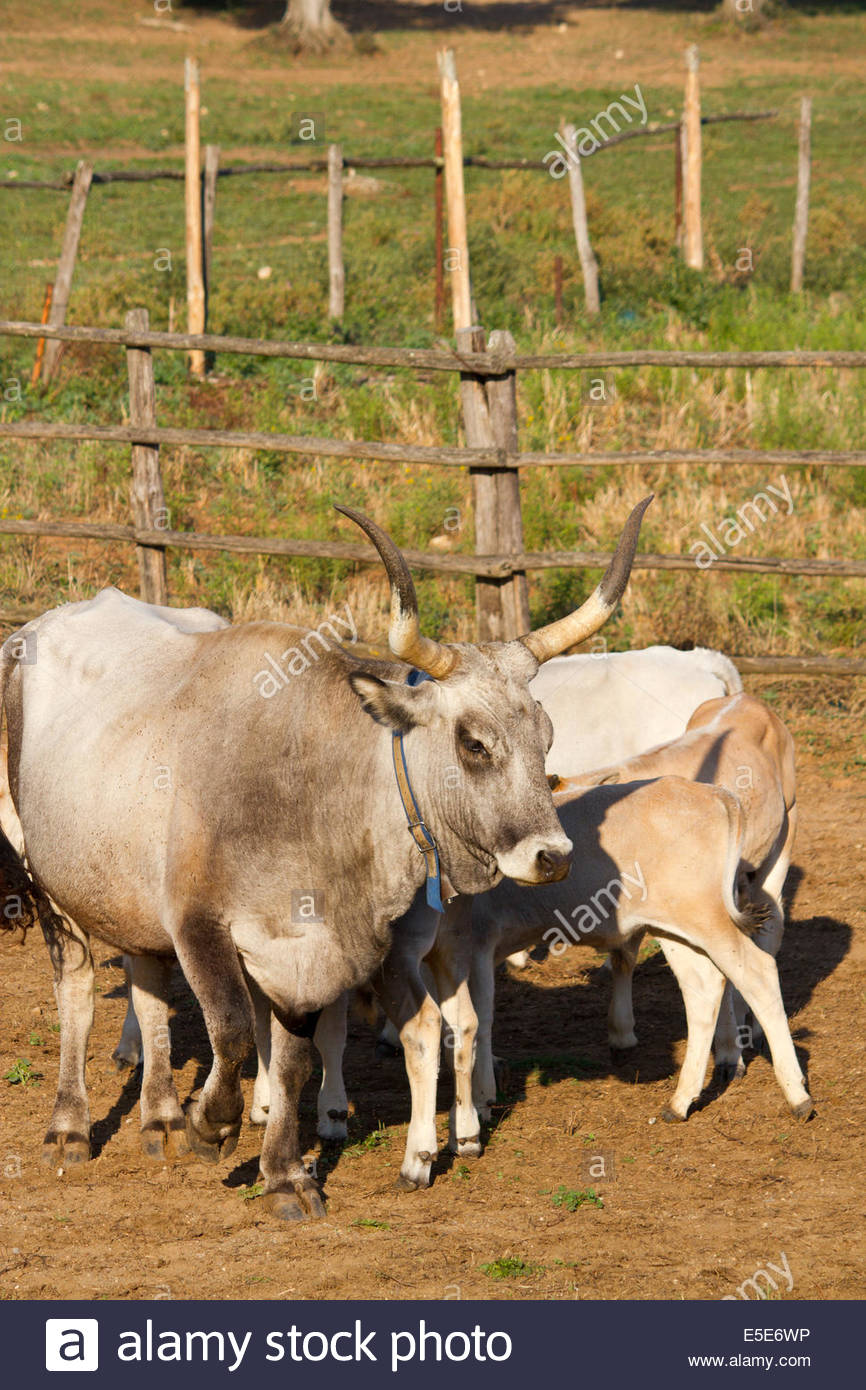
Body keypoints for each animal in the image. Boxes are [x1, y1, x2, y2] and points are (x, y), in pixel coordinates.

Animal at [0, 498, 650, 1221]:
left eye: (547, 734)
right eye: (474, 742)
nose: (552, 856)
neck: (307, 782)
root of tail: (38, 626)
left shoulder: (305, 954)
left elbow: (291, 1059)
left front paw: (284, 1173)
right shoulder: (199, 925)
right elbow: (233, 1029)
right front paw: (213, 1125)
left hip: (126, 892)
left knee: (145, 984)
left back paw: (161, 1115)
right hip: (48, 882)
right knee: (77, 989)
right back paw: (72, 1125)